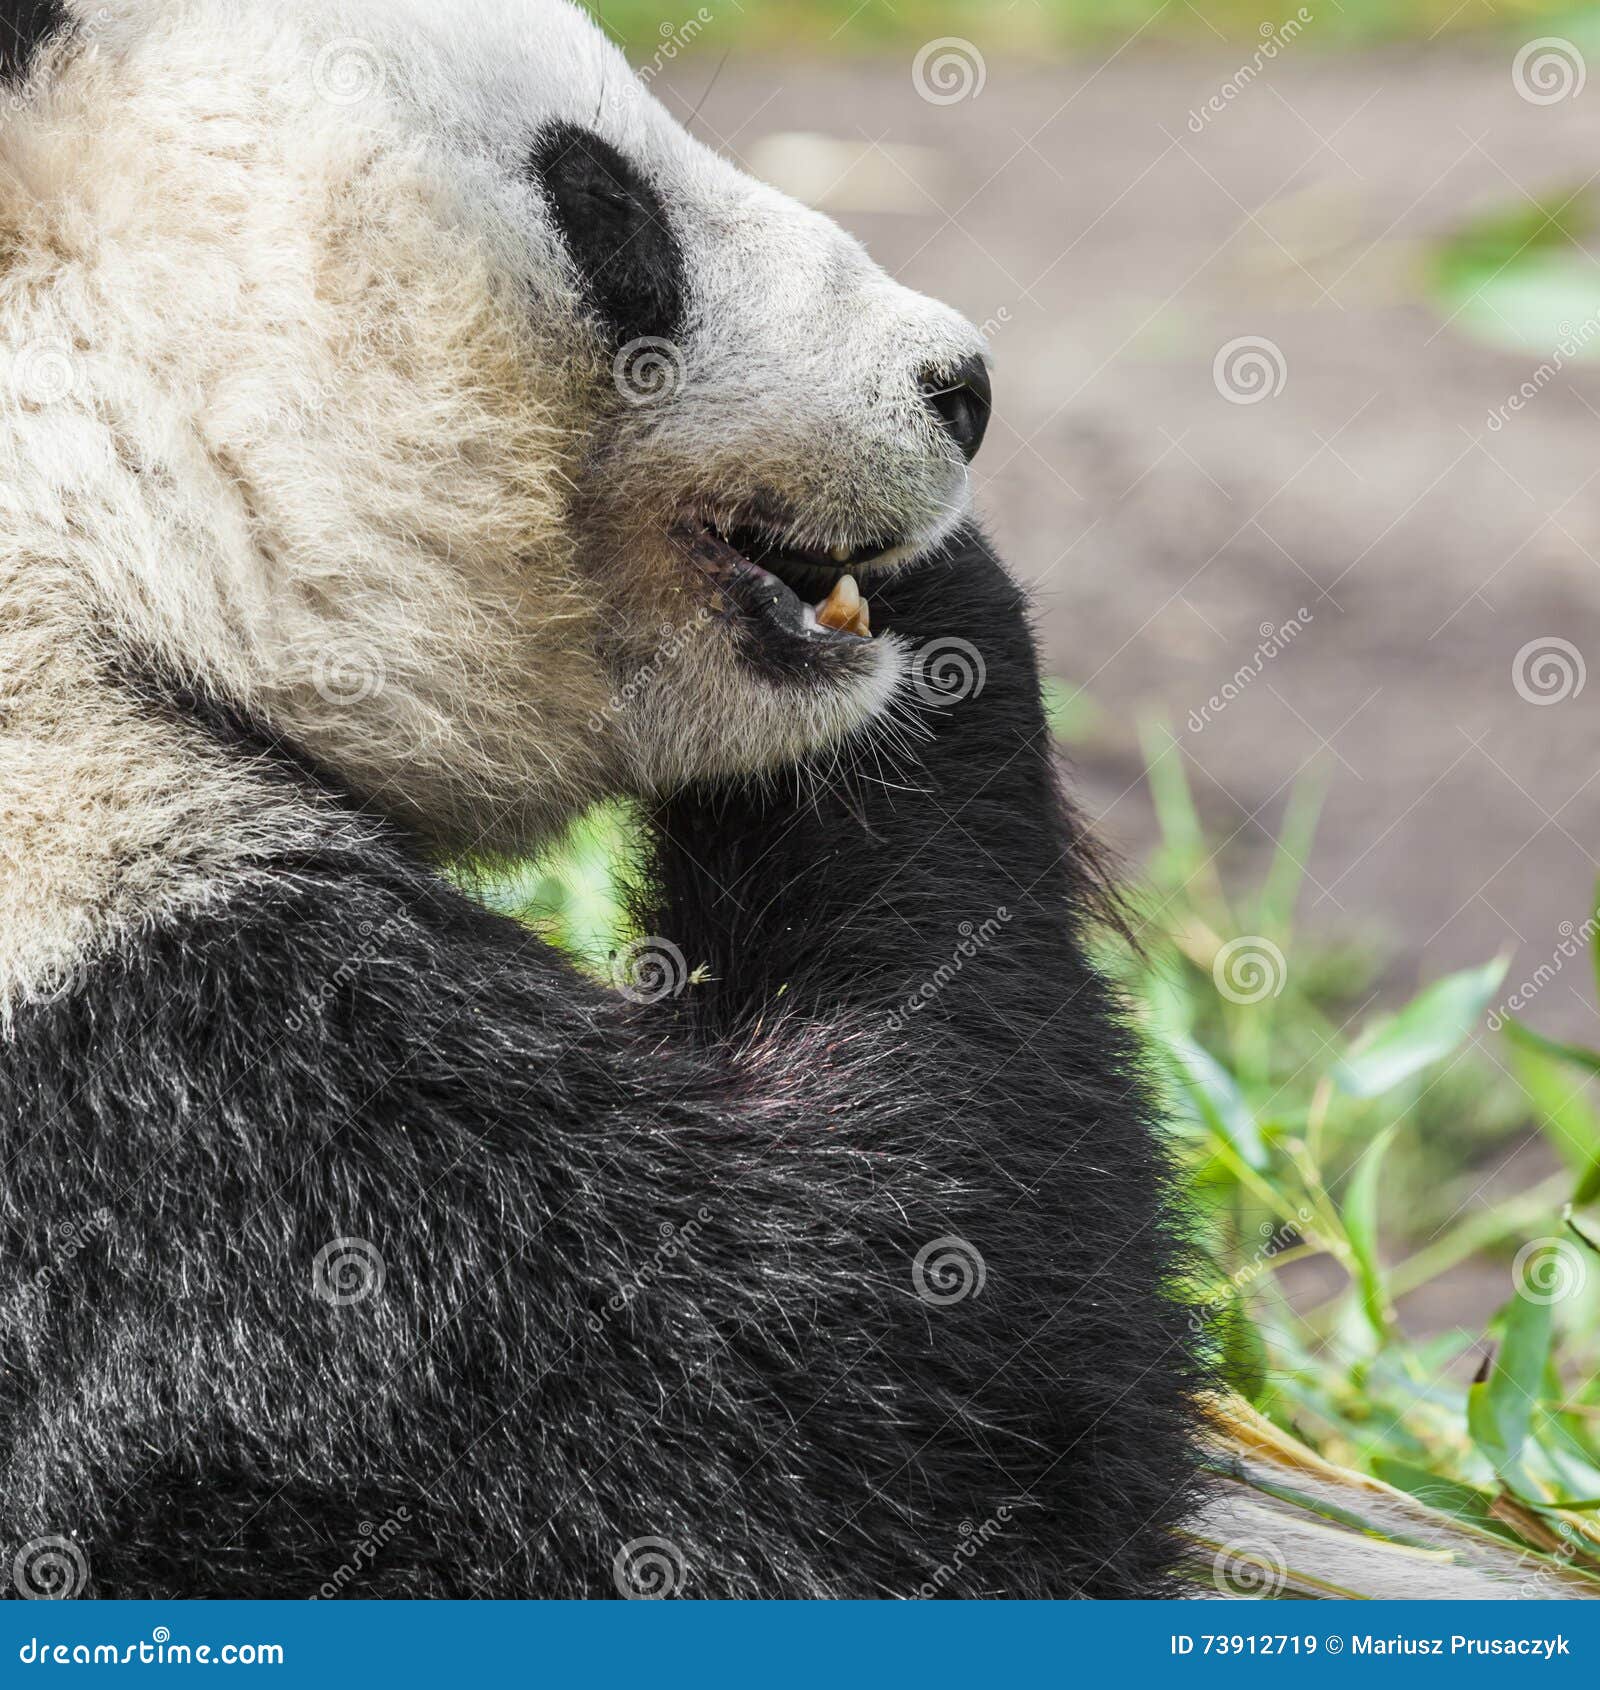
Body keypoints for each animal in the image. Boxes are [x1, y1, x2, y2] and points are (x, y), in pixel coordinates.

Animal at [0, 0, 1208, 1599]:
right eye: (607, 208)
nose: (960, 387)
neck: (67, 513)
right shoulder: (171, 1123)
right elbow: (835, 1413)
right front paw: (951, 601)